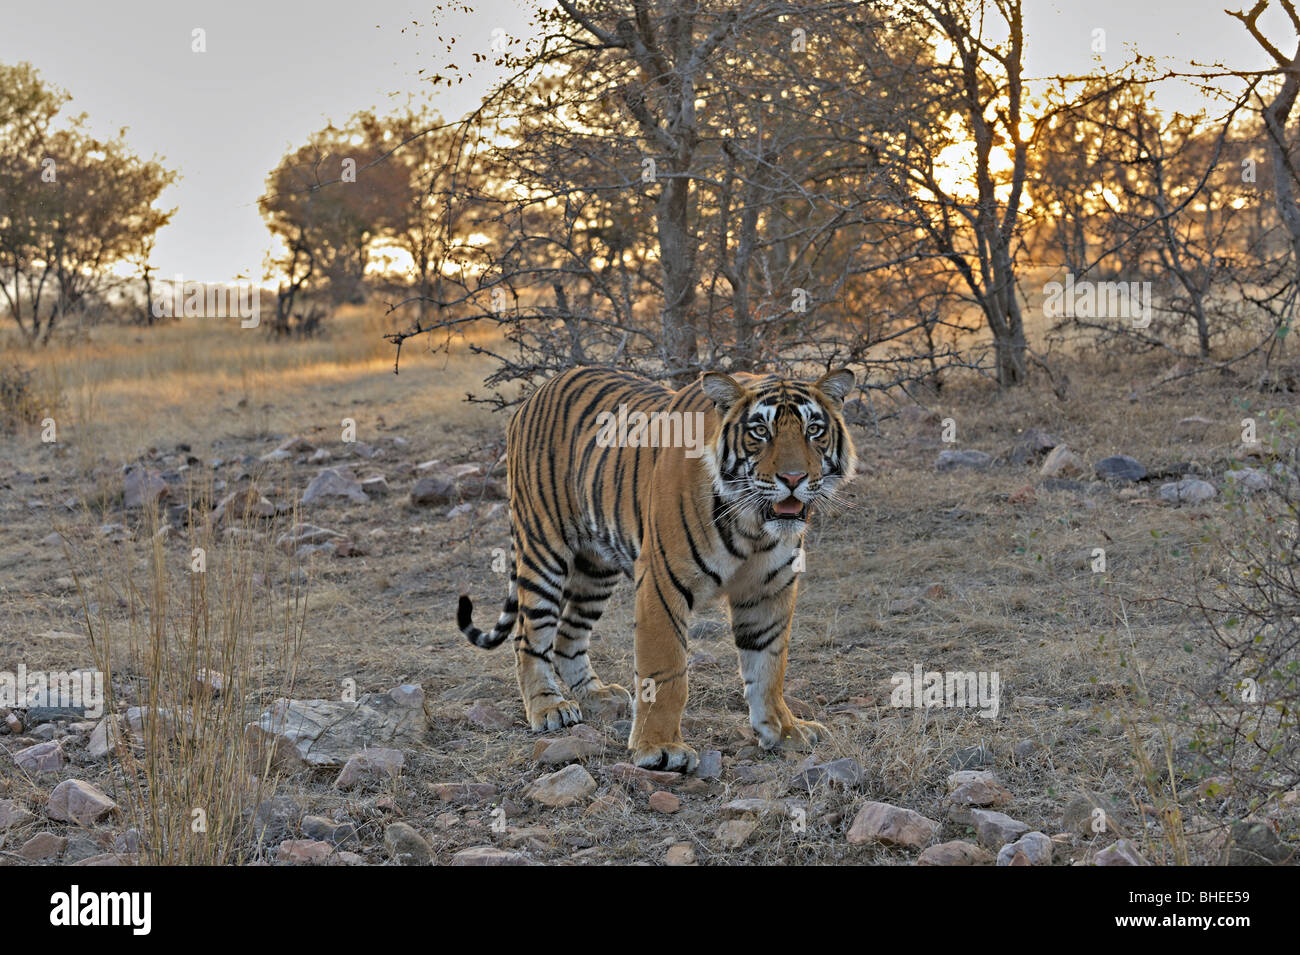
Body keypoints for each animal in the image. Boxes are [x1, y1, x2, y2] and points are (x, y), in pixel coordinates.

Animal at [457, 365, 858, 772]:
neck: (754, 526)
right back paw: (548, 707)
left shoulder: (770, 588)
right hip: (543, 548)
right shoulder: (663, 582)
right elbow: (666, 672)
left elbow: (769, 666)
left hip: (596, 568)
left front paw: (783, 730)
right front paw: (659, 748)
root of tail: (539, 391)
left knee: (569, 634)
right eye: (760, 431)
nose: (793, 479)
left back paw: (597, 695)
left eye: (814, 430)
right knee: (529, 636)